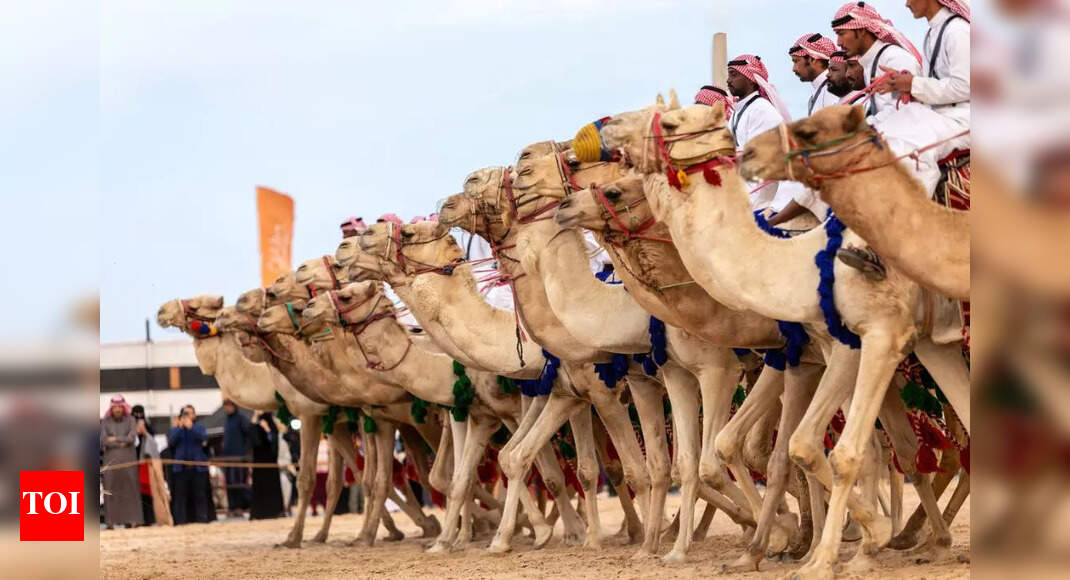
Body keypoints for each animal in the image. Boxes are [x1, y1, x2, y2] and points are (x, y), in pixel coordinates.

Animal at [156, 296, 373, 547]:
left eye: (199, 304)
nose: (161, 311)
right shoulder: (333, 420)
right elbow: (341, 478)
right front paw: (321, 536)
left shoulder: (311, 414)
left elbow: (309, 477)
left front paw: (293, 538)